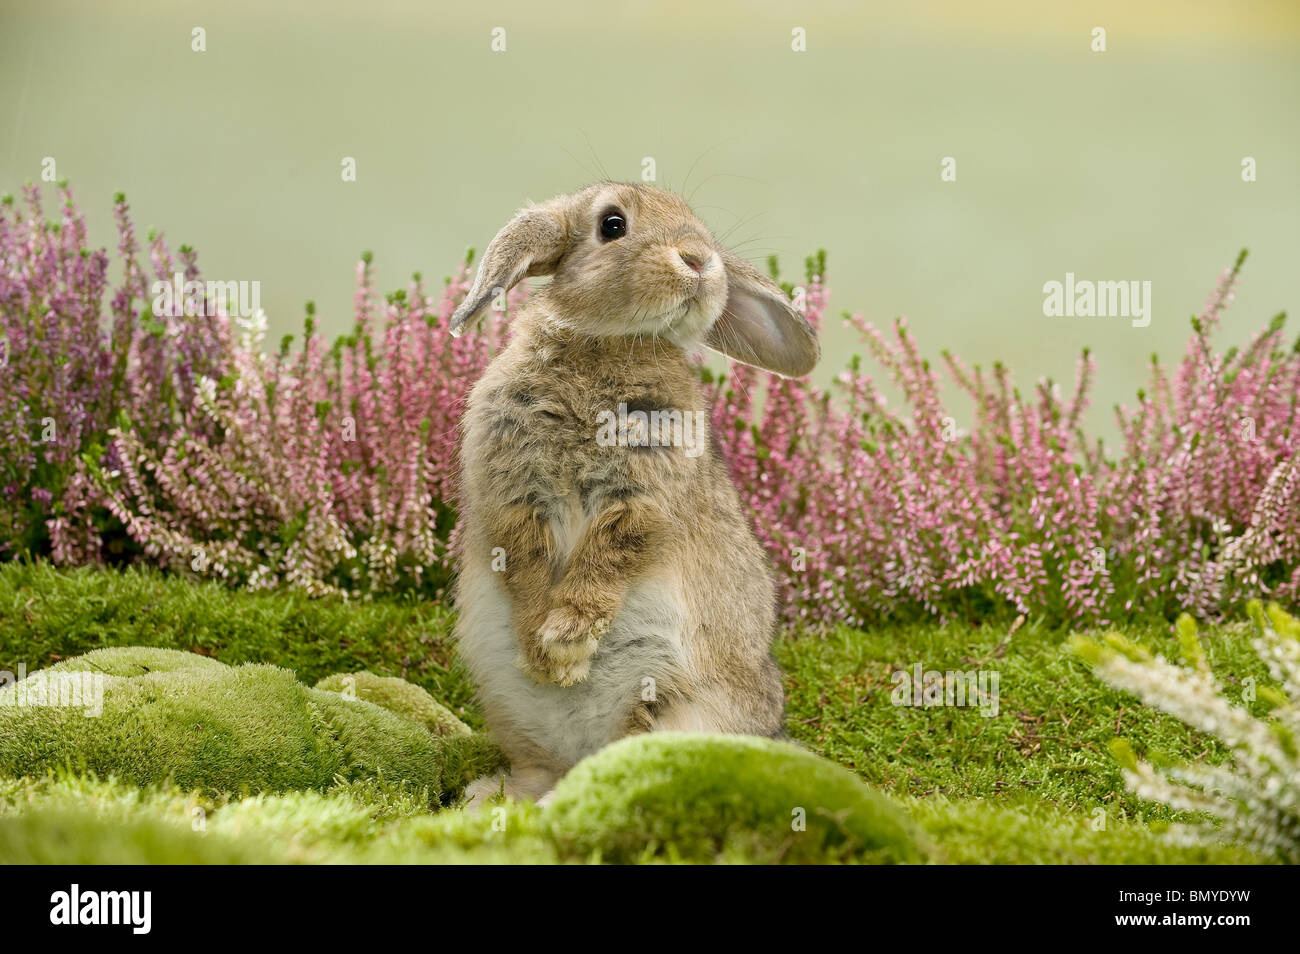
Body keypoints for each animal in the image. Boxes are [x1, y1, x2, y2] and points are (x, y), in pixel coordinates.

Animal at [449, 182, 818, 807]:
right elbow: (527, 564)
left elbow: (604, 565)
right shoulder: (513, 493)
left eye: (697, 223)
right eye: (612, 224)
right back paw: (496, 797)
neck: (610, 343)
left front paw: (565, 645)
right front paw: (543, 654)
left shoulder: (641, 502)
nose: (699, 259)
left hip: (678, 711)